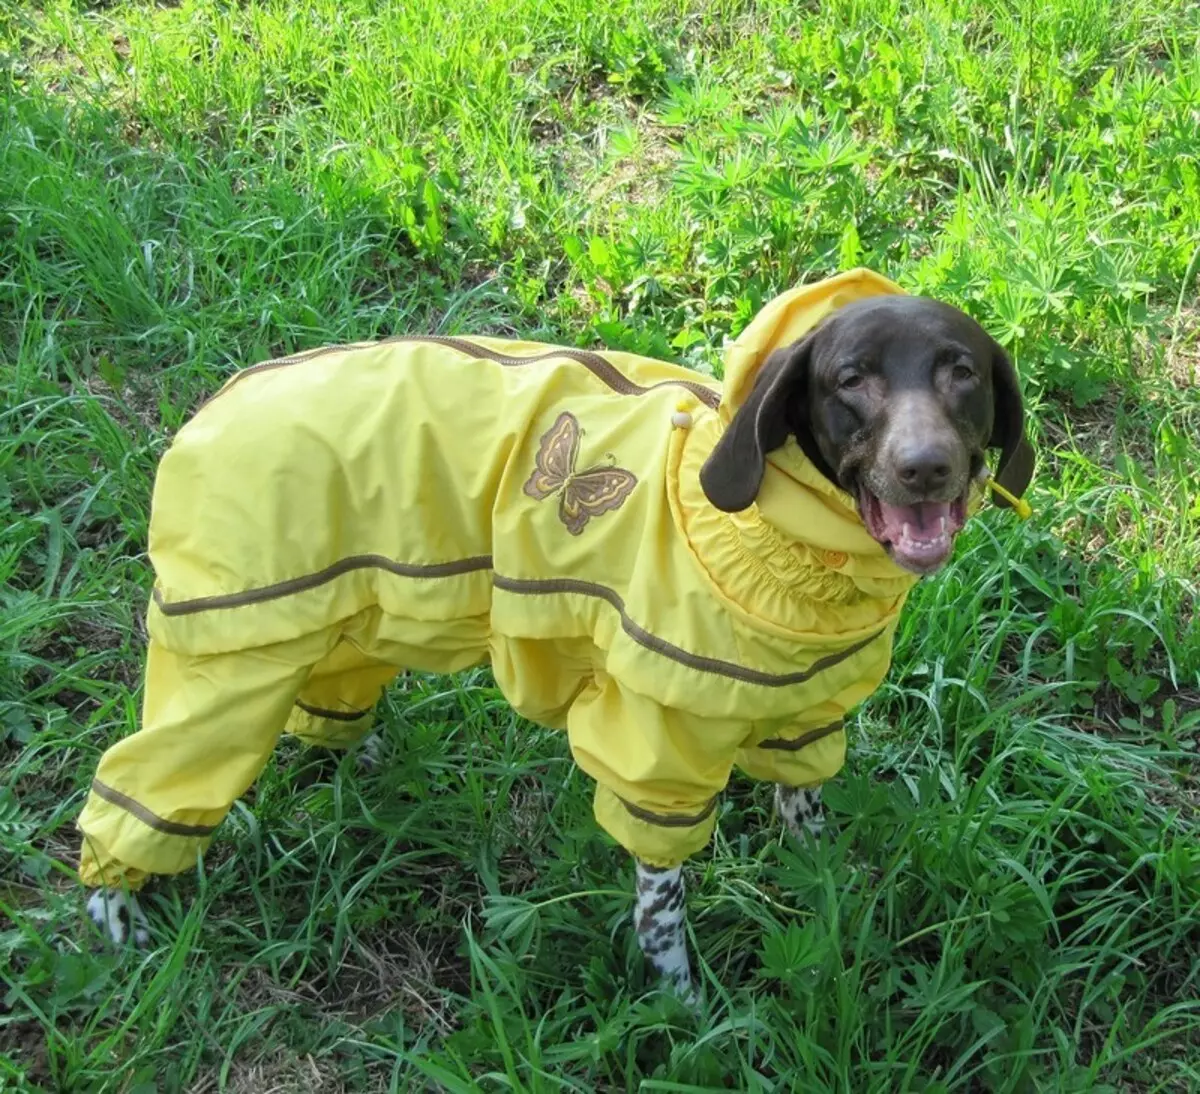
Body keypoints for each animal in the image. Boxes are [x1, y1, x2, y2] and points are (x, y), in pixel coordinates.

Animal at [77, 268, 1032, 998]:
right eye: (850, 379)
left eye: (961, 372)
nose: (926, 468)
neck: (783, 544)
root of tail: (214, 408)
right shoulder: (657, 748)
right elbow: (662, 906)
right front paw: (685, 1006)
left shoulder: (806, 711)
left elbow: (805, 815)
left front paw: (823, 885)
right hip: (229, 666)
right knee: (135, 789)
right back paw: (114, 908)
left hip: (337, 626)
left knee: (326, 715)